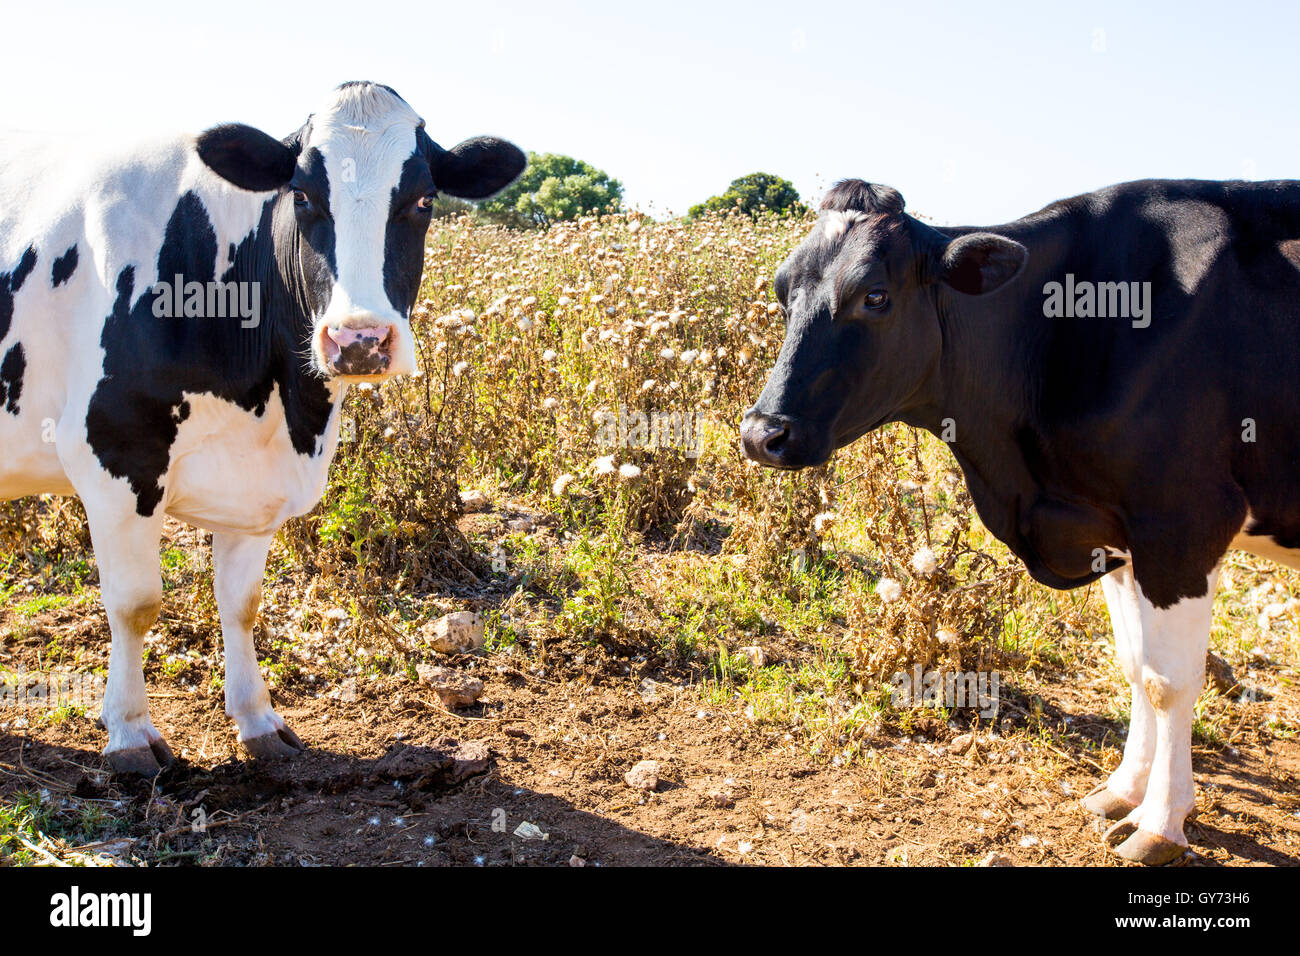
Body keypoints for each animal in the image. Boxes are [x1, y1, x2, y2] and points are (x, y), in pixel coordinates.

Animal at [0, 82, 524, 775]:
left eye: (422, 199)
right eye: (301, 195)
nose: (359, 340)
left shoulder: (255, 484)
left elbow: (242, 604)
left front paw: (257, 721)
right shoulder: (115, 454)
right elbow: (135, 604)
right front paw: (130, 733)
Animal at [741, 176, 1300, 865]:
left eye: (875, 296)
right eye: (782, 291)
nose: (762, 433)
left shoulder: (1183, 523)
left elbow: (1167, 682)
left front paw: (1162, 821)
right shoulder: (1109, 533)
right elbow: (1133, 664)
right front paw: (1123, 790)